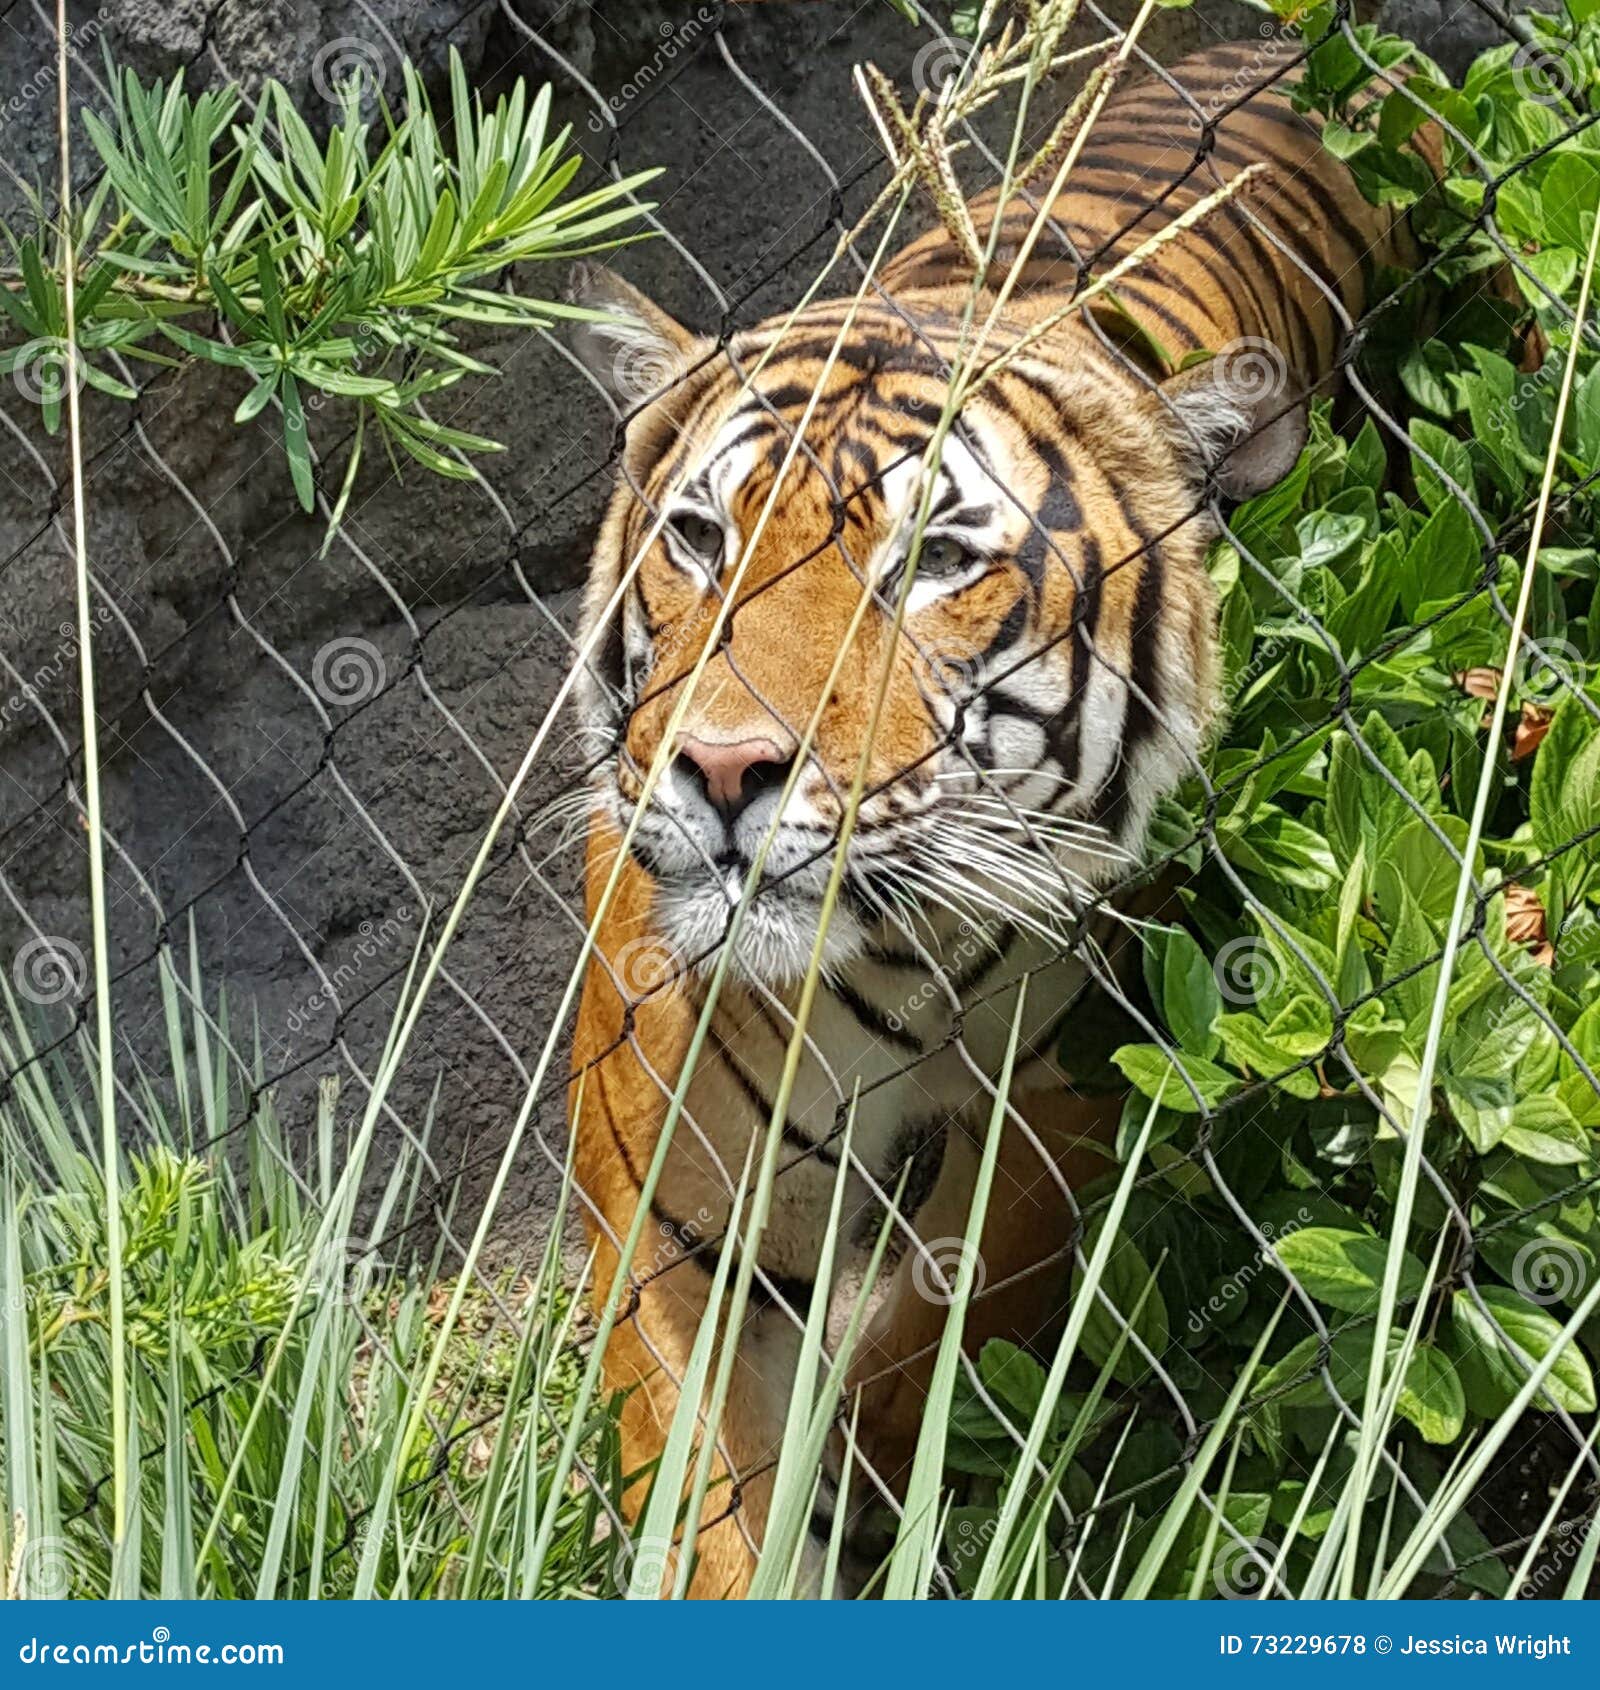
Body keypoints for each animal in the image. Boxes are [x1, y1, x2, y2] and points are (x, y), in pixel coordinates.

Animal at [563, 38, 1417, 1597]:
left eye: (933, 562)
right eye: (700, 539)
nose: (722, 768)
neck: (866, 967)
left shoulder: (1073, 1107)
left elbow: (932, 1350)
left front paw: (864, 1482)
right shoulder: (665, 1215)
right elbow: (705, 1511)